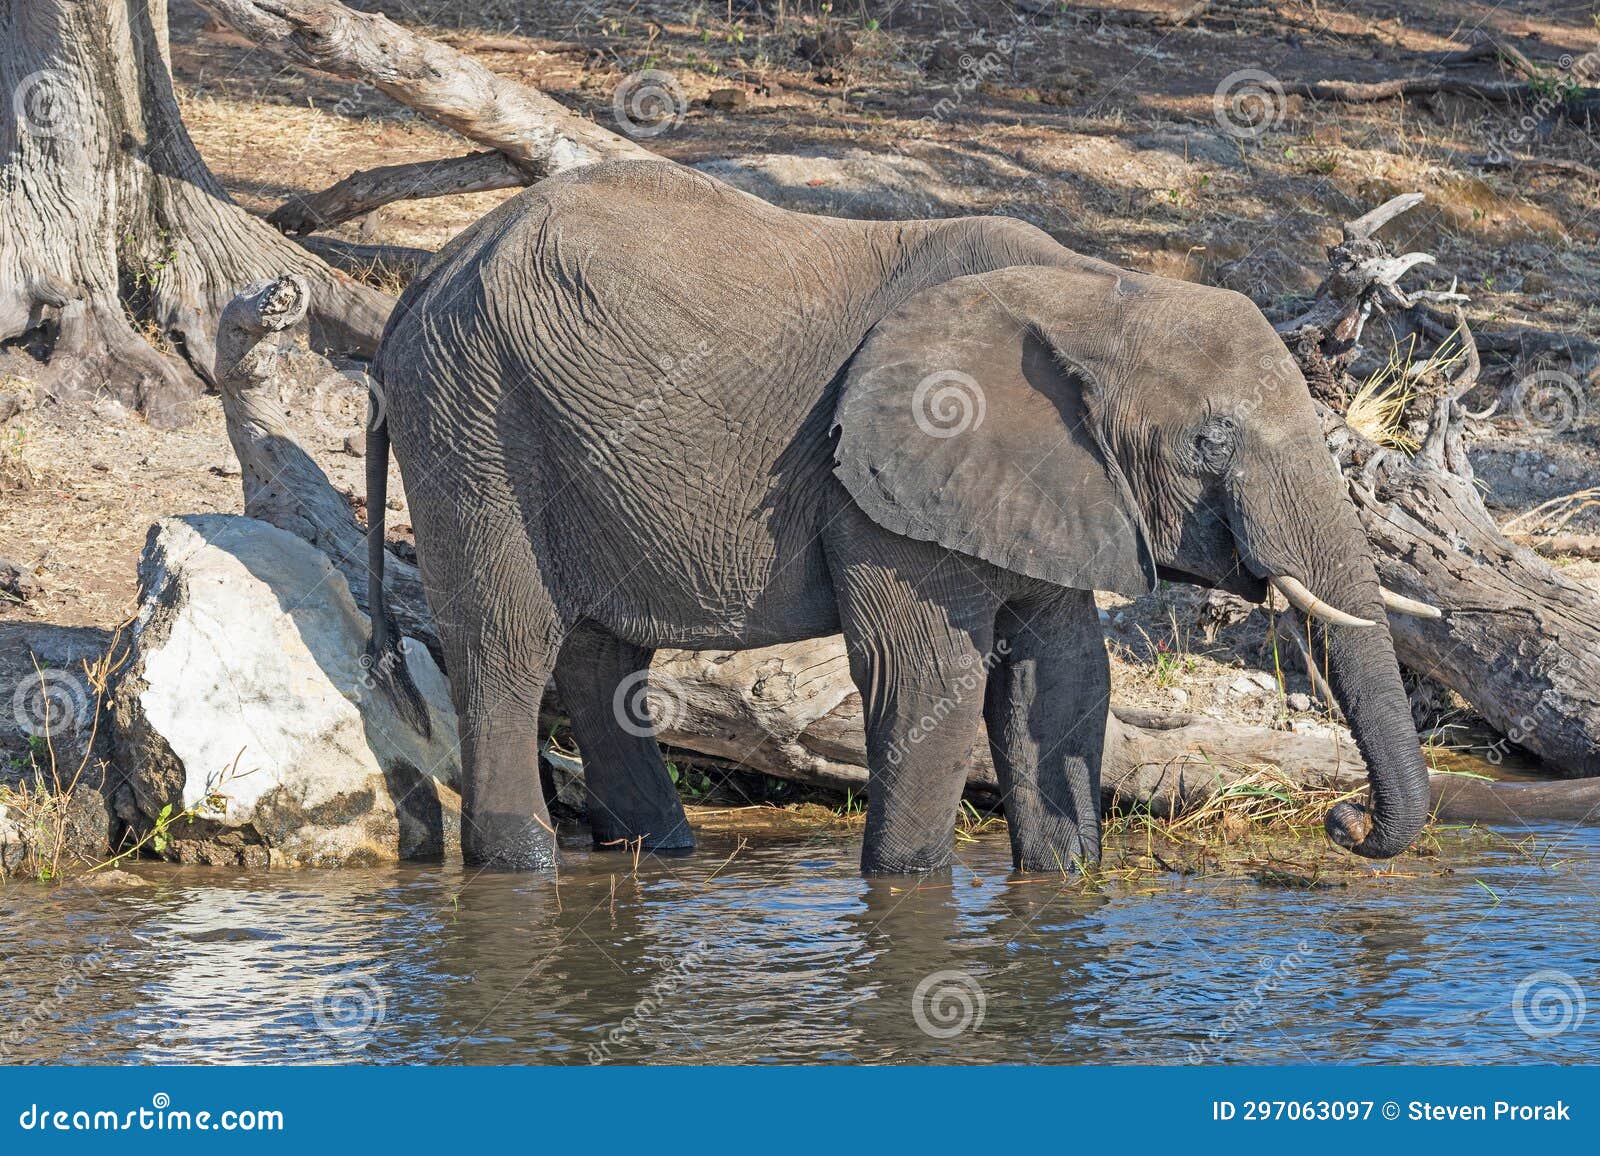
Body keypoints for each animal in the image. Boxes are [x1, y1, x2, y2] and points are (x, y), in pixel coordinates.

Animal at [367, 159, 1438, 874]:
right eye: (1209, 444)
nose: (1344, 823)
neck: (1093, 290)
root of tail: (418, 285)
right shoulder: (890, 483)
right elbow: (930, 679)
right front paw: (908, 887)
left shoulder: (1046, 486)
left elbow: (1061, 678)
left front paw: (1064, 880)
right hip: (473, 420)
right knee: (508, 645)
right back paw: (522, 867)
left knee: (602, 654)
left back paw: (661, 852)